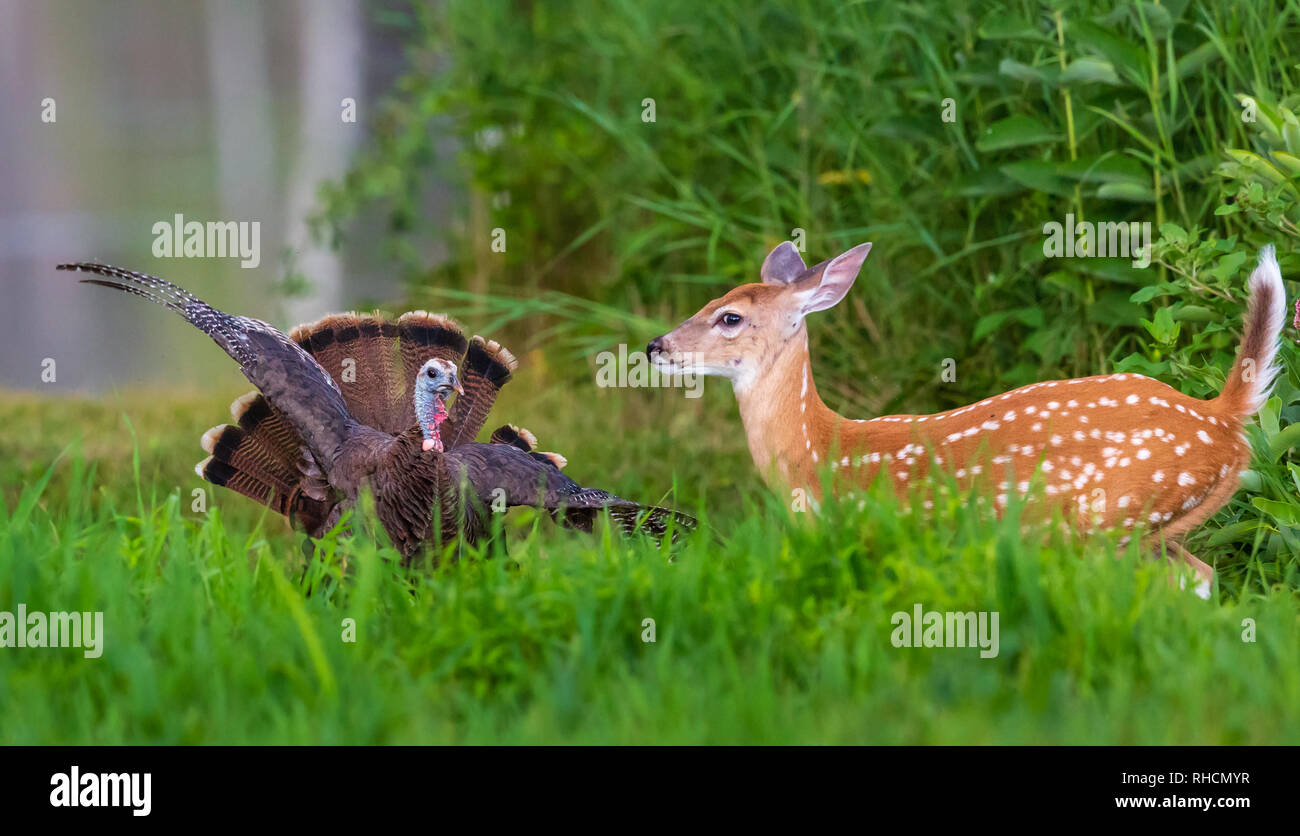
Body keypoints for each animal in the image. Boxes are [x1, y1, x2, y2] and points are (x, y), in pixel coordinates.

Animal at [647, 241, 1288, 596]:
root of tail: (1220, 417)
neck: (817, 452)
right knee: (1200, 576)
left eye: (730, 318)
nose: (656, 346)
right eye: (710, 303)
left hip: (1112, 515)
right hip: (1152, 526)